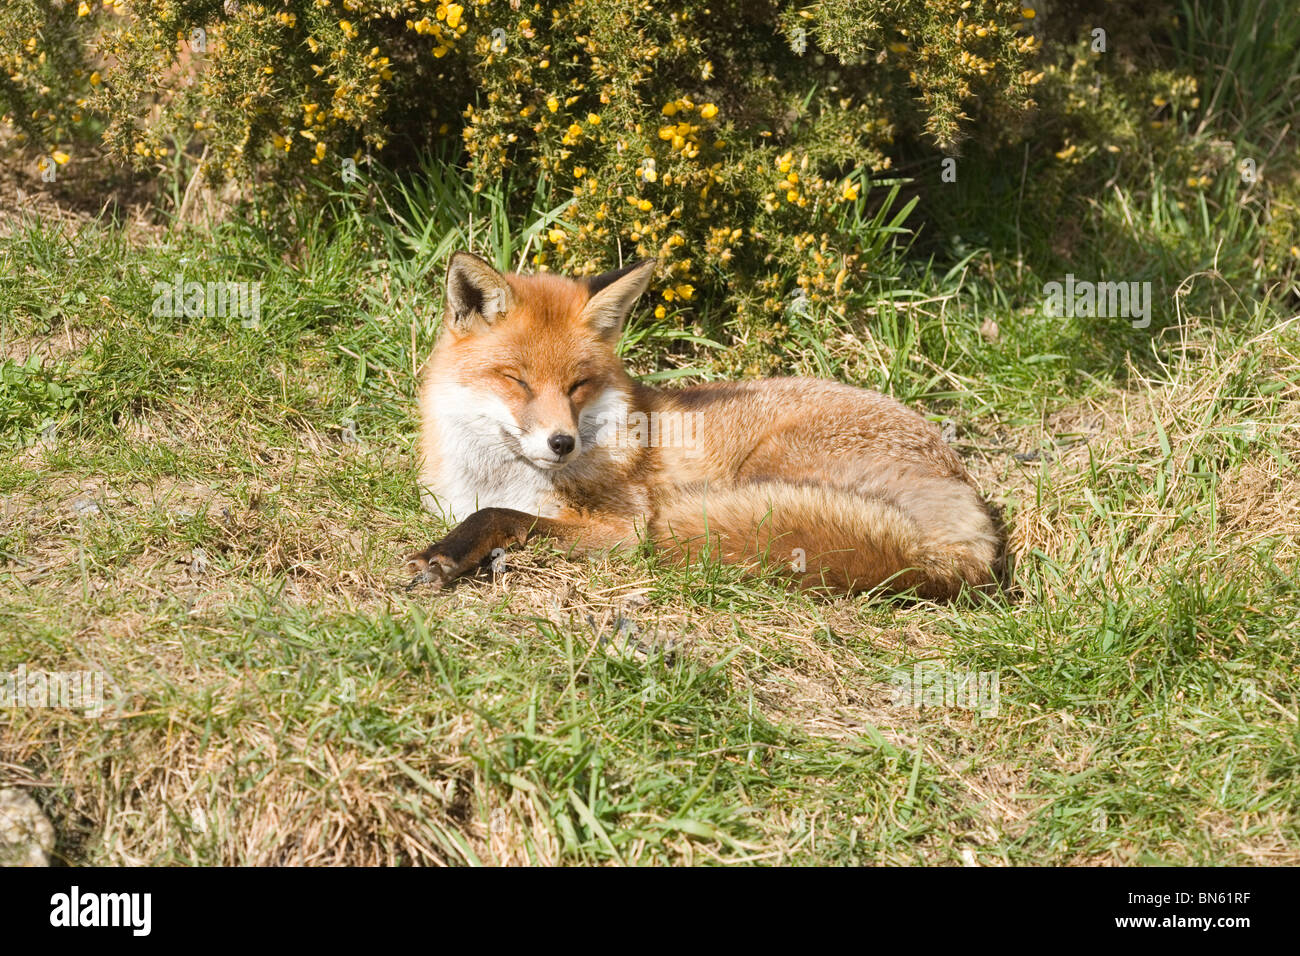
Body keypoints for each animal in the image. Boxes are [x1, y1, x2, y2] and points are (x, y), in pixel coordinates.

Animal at [406, 251, 1002, 599]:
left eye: (578, 385)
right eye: (517, 380)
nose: (562, 443)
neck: (496, 475)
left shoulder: (621, 527)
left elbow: (503, 516)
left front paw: (451, 553)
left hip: (770, 462)